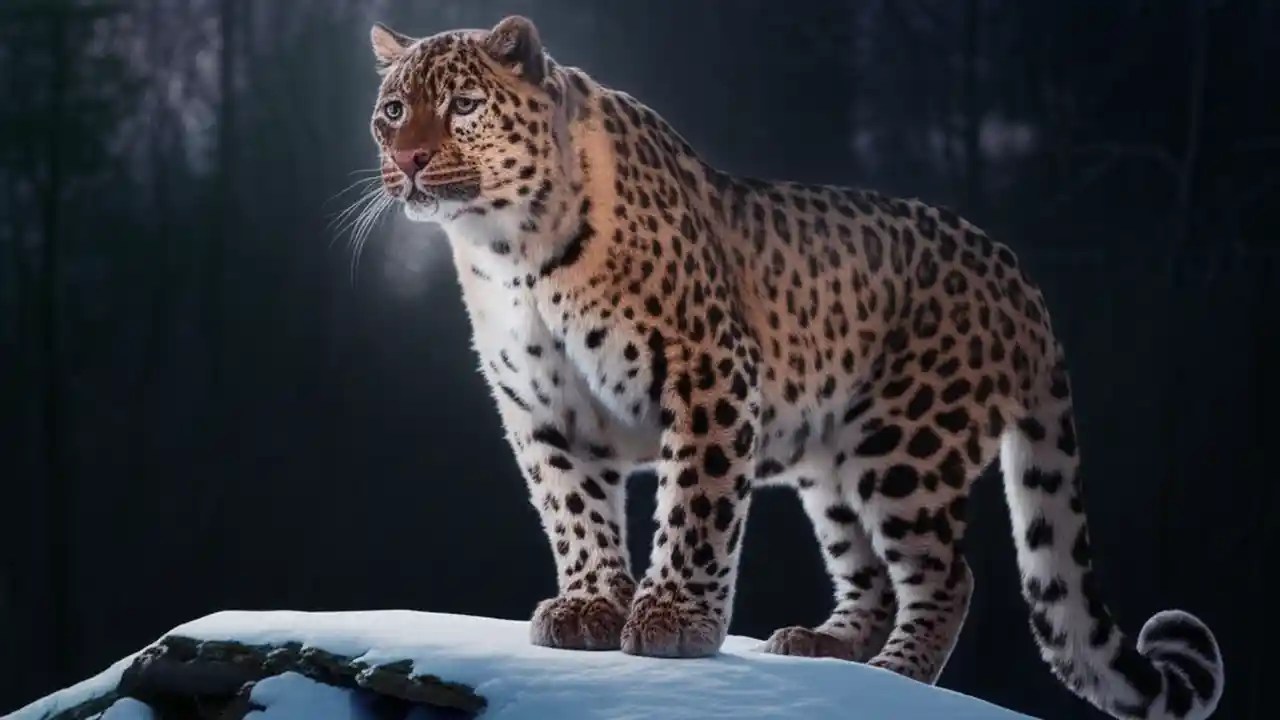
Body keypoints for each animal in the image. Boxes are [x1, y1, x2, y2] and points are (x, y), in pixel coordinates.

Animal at [364, 15, 1224, 720]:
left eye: (465, 105)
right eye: (394, 110)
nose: (408, 161)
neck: (508, 246)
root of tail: (1019, 275)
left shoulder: (708, 369)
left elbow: (696, 505)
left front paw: (674, 621)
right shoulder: (541, 412)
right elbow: (576, 513)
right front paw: (591, 609)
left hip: (906, 445)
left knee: (947, 576)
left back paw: (897, 677)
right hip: (832, 465)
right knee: (869, 575)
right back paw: (825, 646)